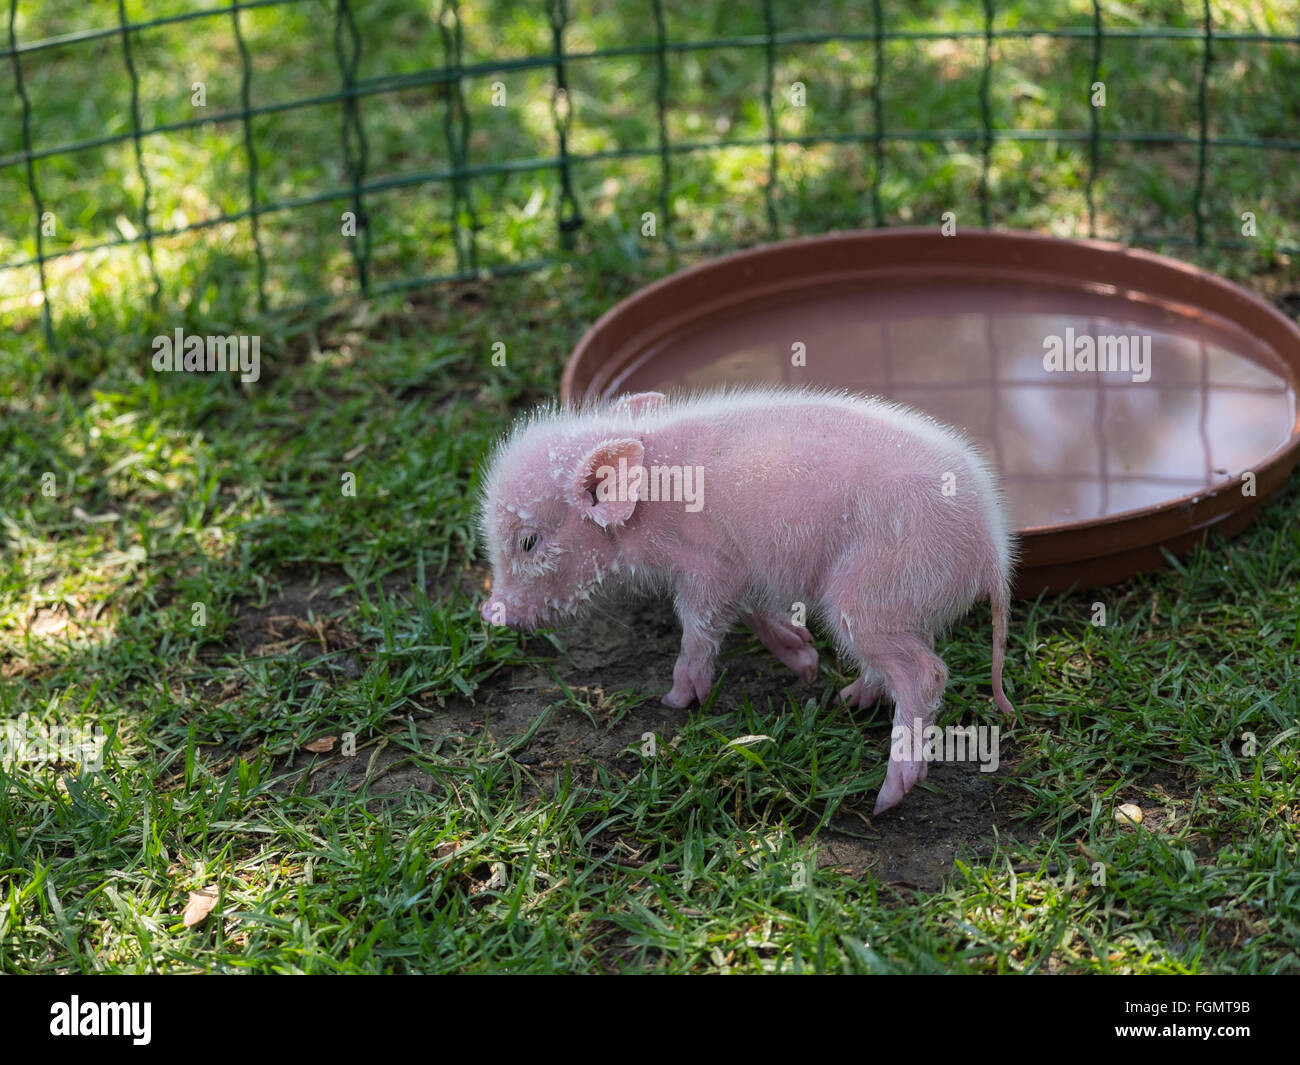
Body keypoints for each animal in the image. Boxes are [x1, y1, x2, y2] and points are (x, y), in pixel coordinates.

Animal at [478, 387, 1016, 813]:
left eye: (528, 541)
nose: (490, 611)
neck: (650, 505)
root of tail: (991, 548)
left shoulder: (709, 568)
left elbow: (697, 630)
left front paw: (675, 701)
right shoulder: (743, 570)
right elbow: (753, 612)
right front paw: (805, 663)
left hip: (868, 597)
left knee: (929, 673)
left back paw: (888, 795)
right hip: (903, 603)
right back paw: (848, 699)